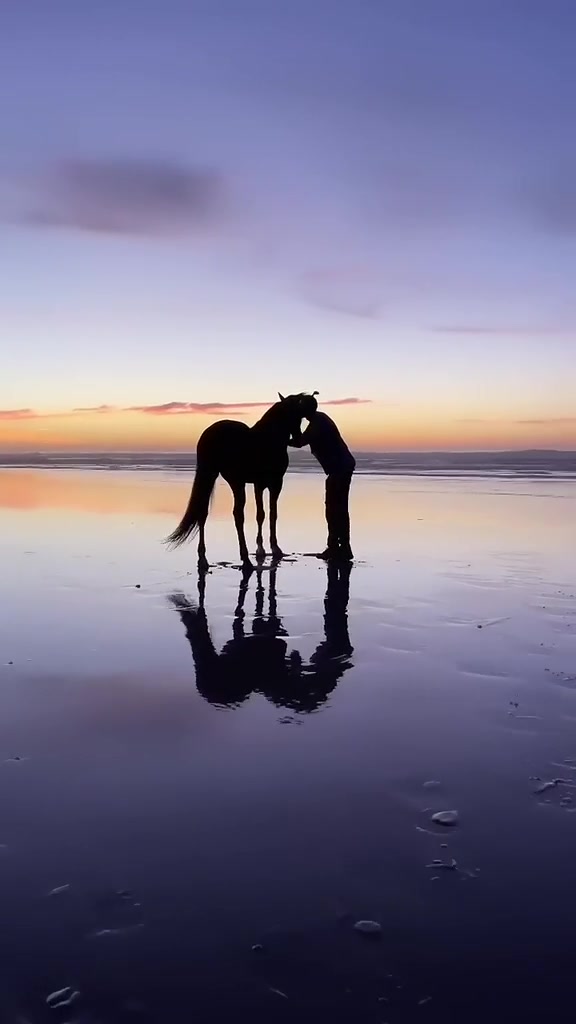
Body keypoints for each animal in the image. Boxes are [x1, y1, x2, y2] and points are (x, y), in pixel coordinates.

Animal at [164, 392, 309, 569]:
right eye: (292, 413)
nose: (298, 439)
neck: (268, 440)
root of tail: (208, 433)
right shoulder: (262, 484)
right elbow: (261, 514)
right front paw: (266, 548)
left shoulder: (272, 484)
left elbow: (271, 514)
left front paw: (270, 548)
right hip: (234, 480)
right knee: (237, 514)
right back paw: (244, 559)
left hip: (212, 476)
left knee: (204, 512)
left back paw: (203, 558)